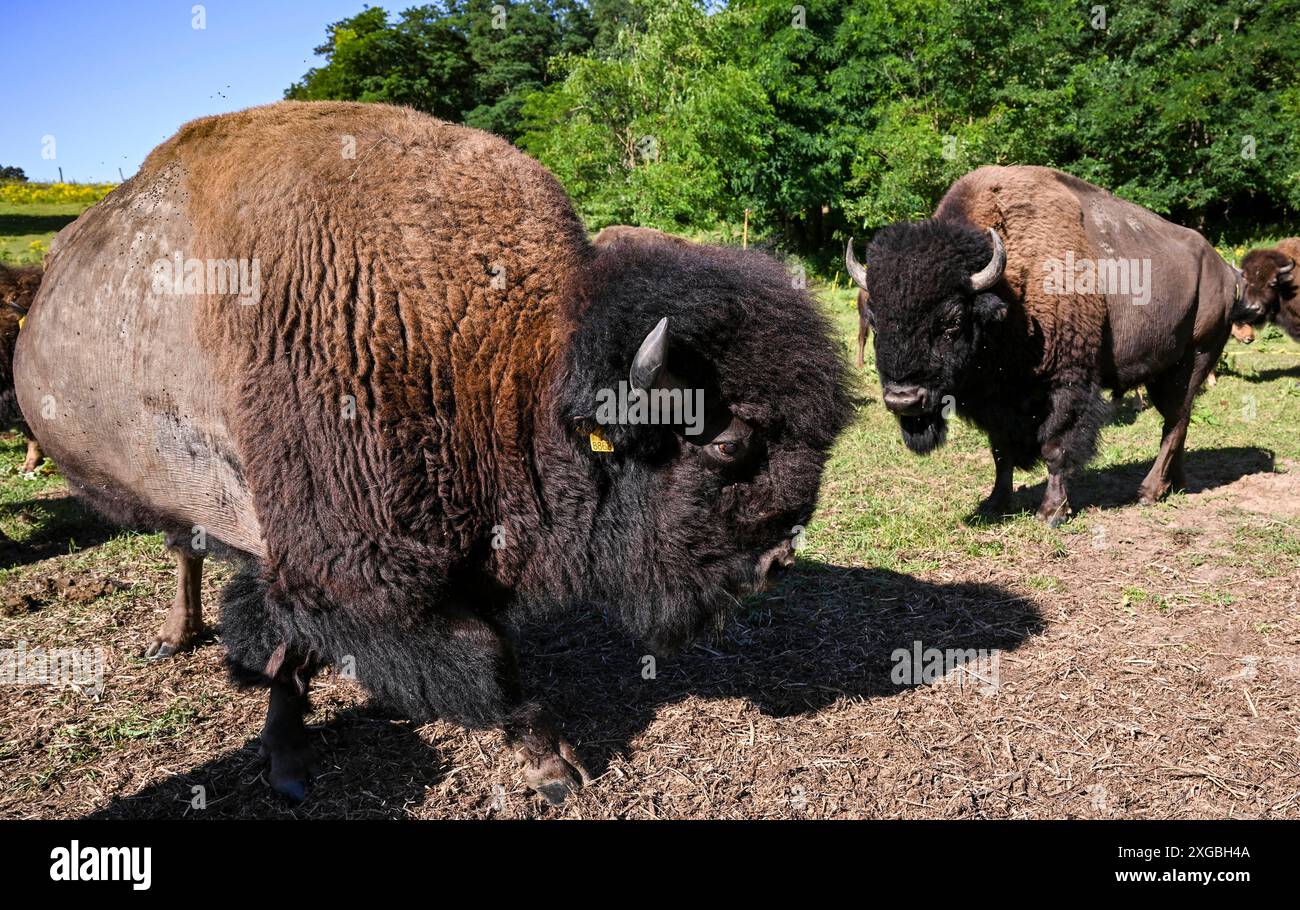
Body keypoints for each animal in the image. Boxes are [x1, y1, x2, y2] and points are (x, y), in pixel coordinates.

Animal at [16, 102, 850, 803]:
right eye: (732, 444)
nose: (780, 560)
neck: (503, 370)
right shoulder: (348, 571)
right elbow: (480, 664)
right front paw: (557, 770)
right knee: (183, 546)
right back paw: (172, 640)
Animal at [845, 165, 1243, 525]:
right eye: (877, 322)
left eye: (952, 321)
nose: (903, 400)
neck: (1009, 294)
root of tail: (1225, 271)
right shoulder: (997, 400)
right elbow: (1001, 451)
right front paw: (995, 503)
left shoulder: (1066, 383)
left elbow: (1056, 446)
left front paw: (1052, 512)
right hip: (1166, 369)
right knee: (1178, 424)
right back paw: (1175, 484)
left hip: (1195, 360)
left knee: (1175, 423)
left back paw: (1147, 491)